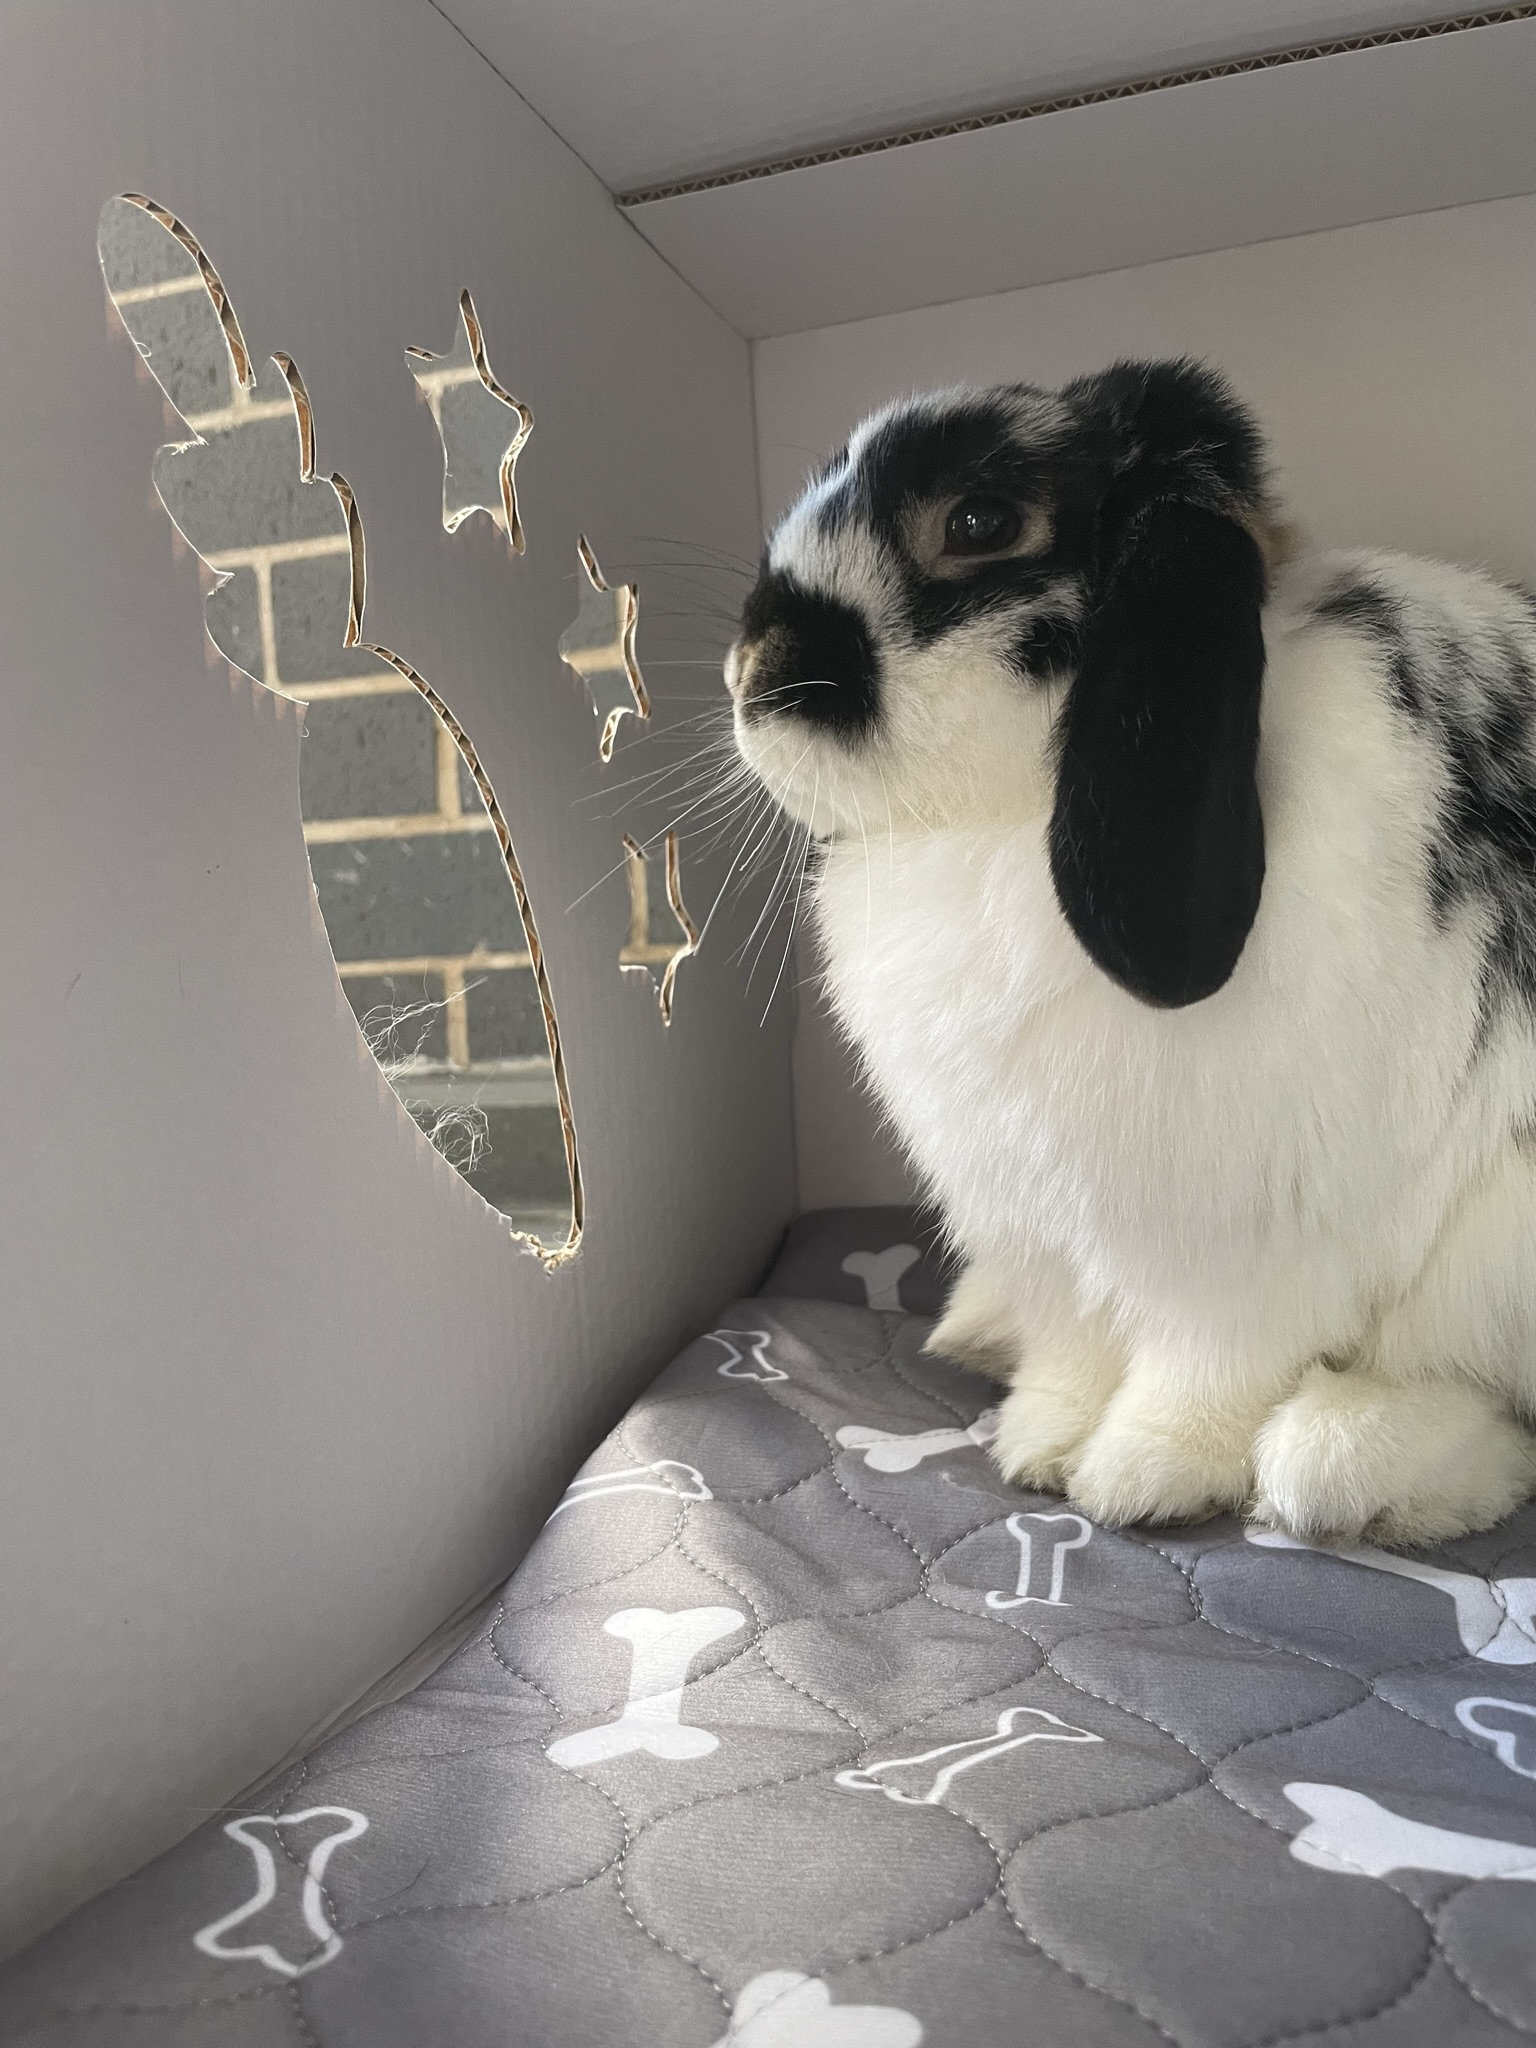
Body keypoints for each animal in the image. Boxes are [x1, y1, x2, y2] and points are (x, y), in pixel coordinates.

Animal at [726, 358, 1536, 1545]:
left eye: (979, 521)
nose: (754, 674)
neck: (1001, 820)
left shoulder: (1253, 1245)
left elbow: (1209, 1364)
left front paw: (1139, 1472)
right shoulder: (1051, 1231)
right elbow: (1075, 1346)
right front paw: (1040, 1443)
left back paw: (1345, 1462)